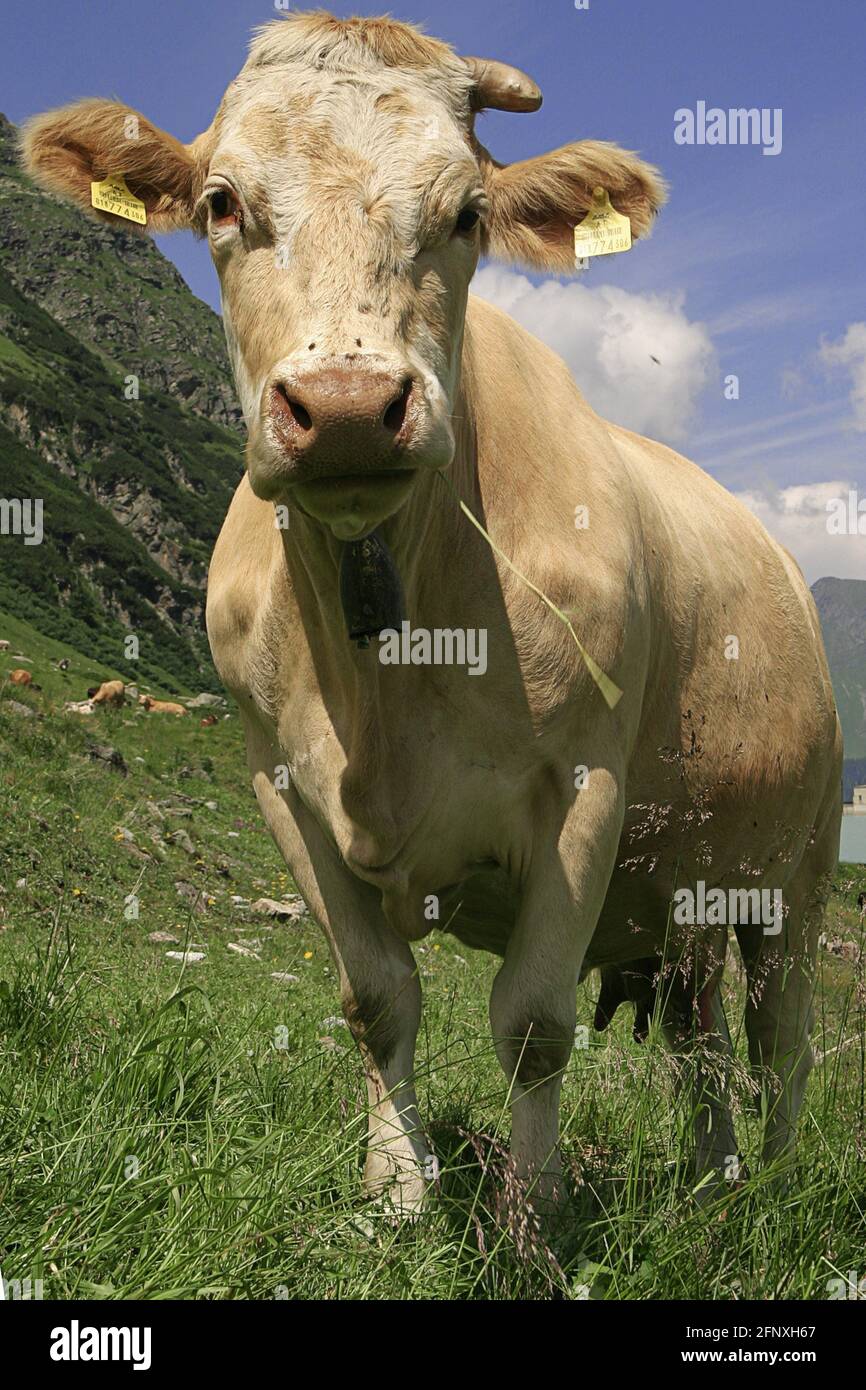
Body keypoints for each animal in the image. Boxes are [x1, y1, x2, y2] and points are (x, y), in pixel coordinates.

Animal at [22, 11, 842, 1215]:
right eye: (220, 203)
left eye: (465, 214)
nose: (347, 409)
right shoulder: (283, 787)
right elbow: (378, 1001)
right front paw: (397, 1195)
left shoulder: (585, 790)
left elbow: (535, 1026)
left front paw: (533, 1216)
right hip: (689, 879)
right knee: (701, 1037)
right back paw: (711, 1181)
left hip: (799, 870)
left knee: (778, 1033)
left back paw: (775, 1184)